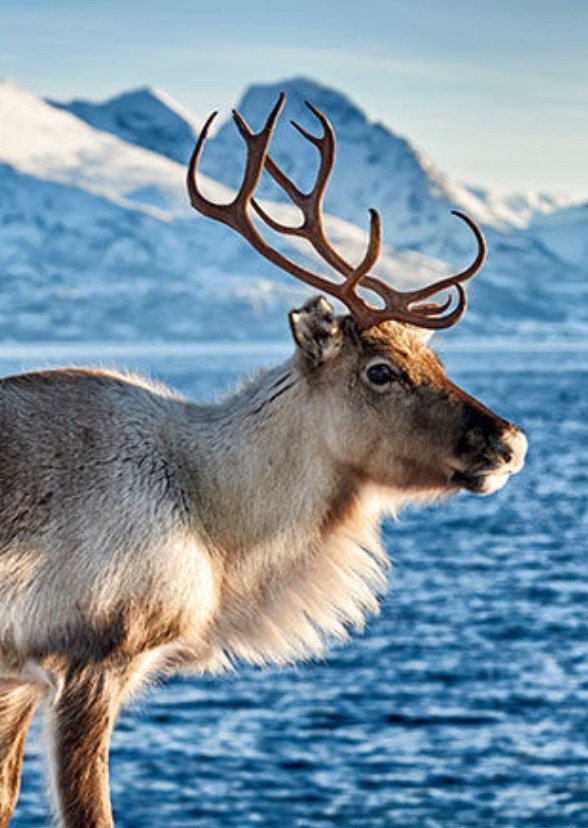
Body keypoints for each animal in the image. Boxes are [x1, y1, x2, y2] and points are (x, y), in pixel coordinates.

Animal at [0, 93, 527, 827]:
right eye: (381, 371)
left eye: (436, 360)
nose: (509, 441)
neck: (212, 514)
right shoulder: (91, 660)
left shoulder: (18, 679)